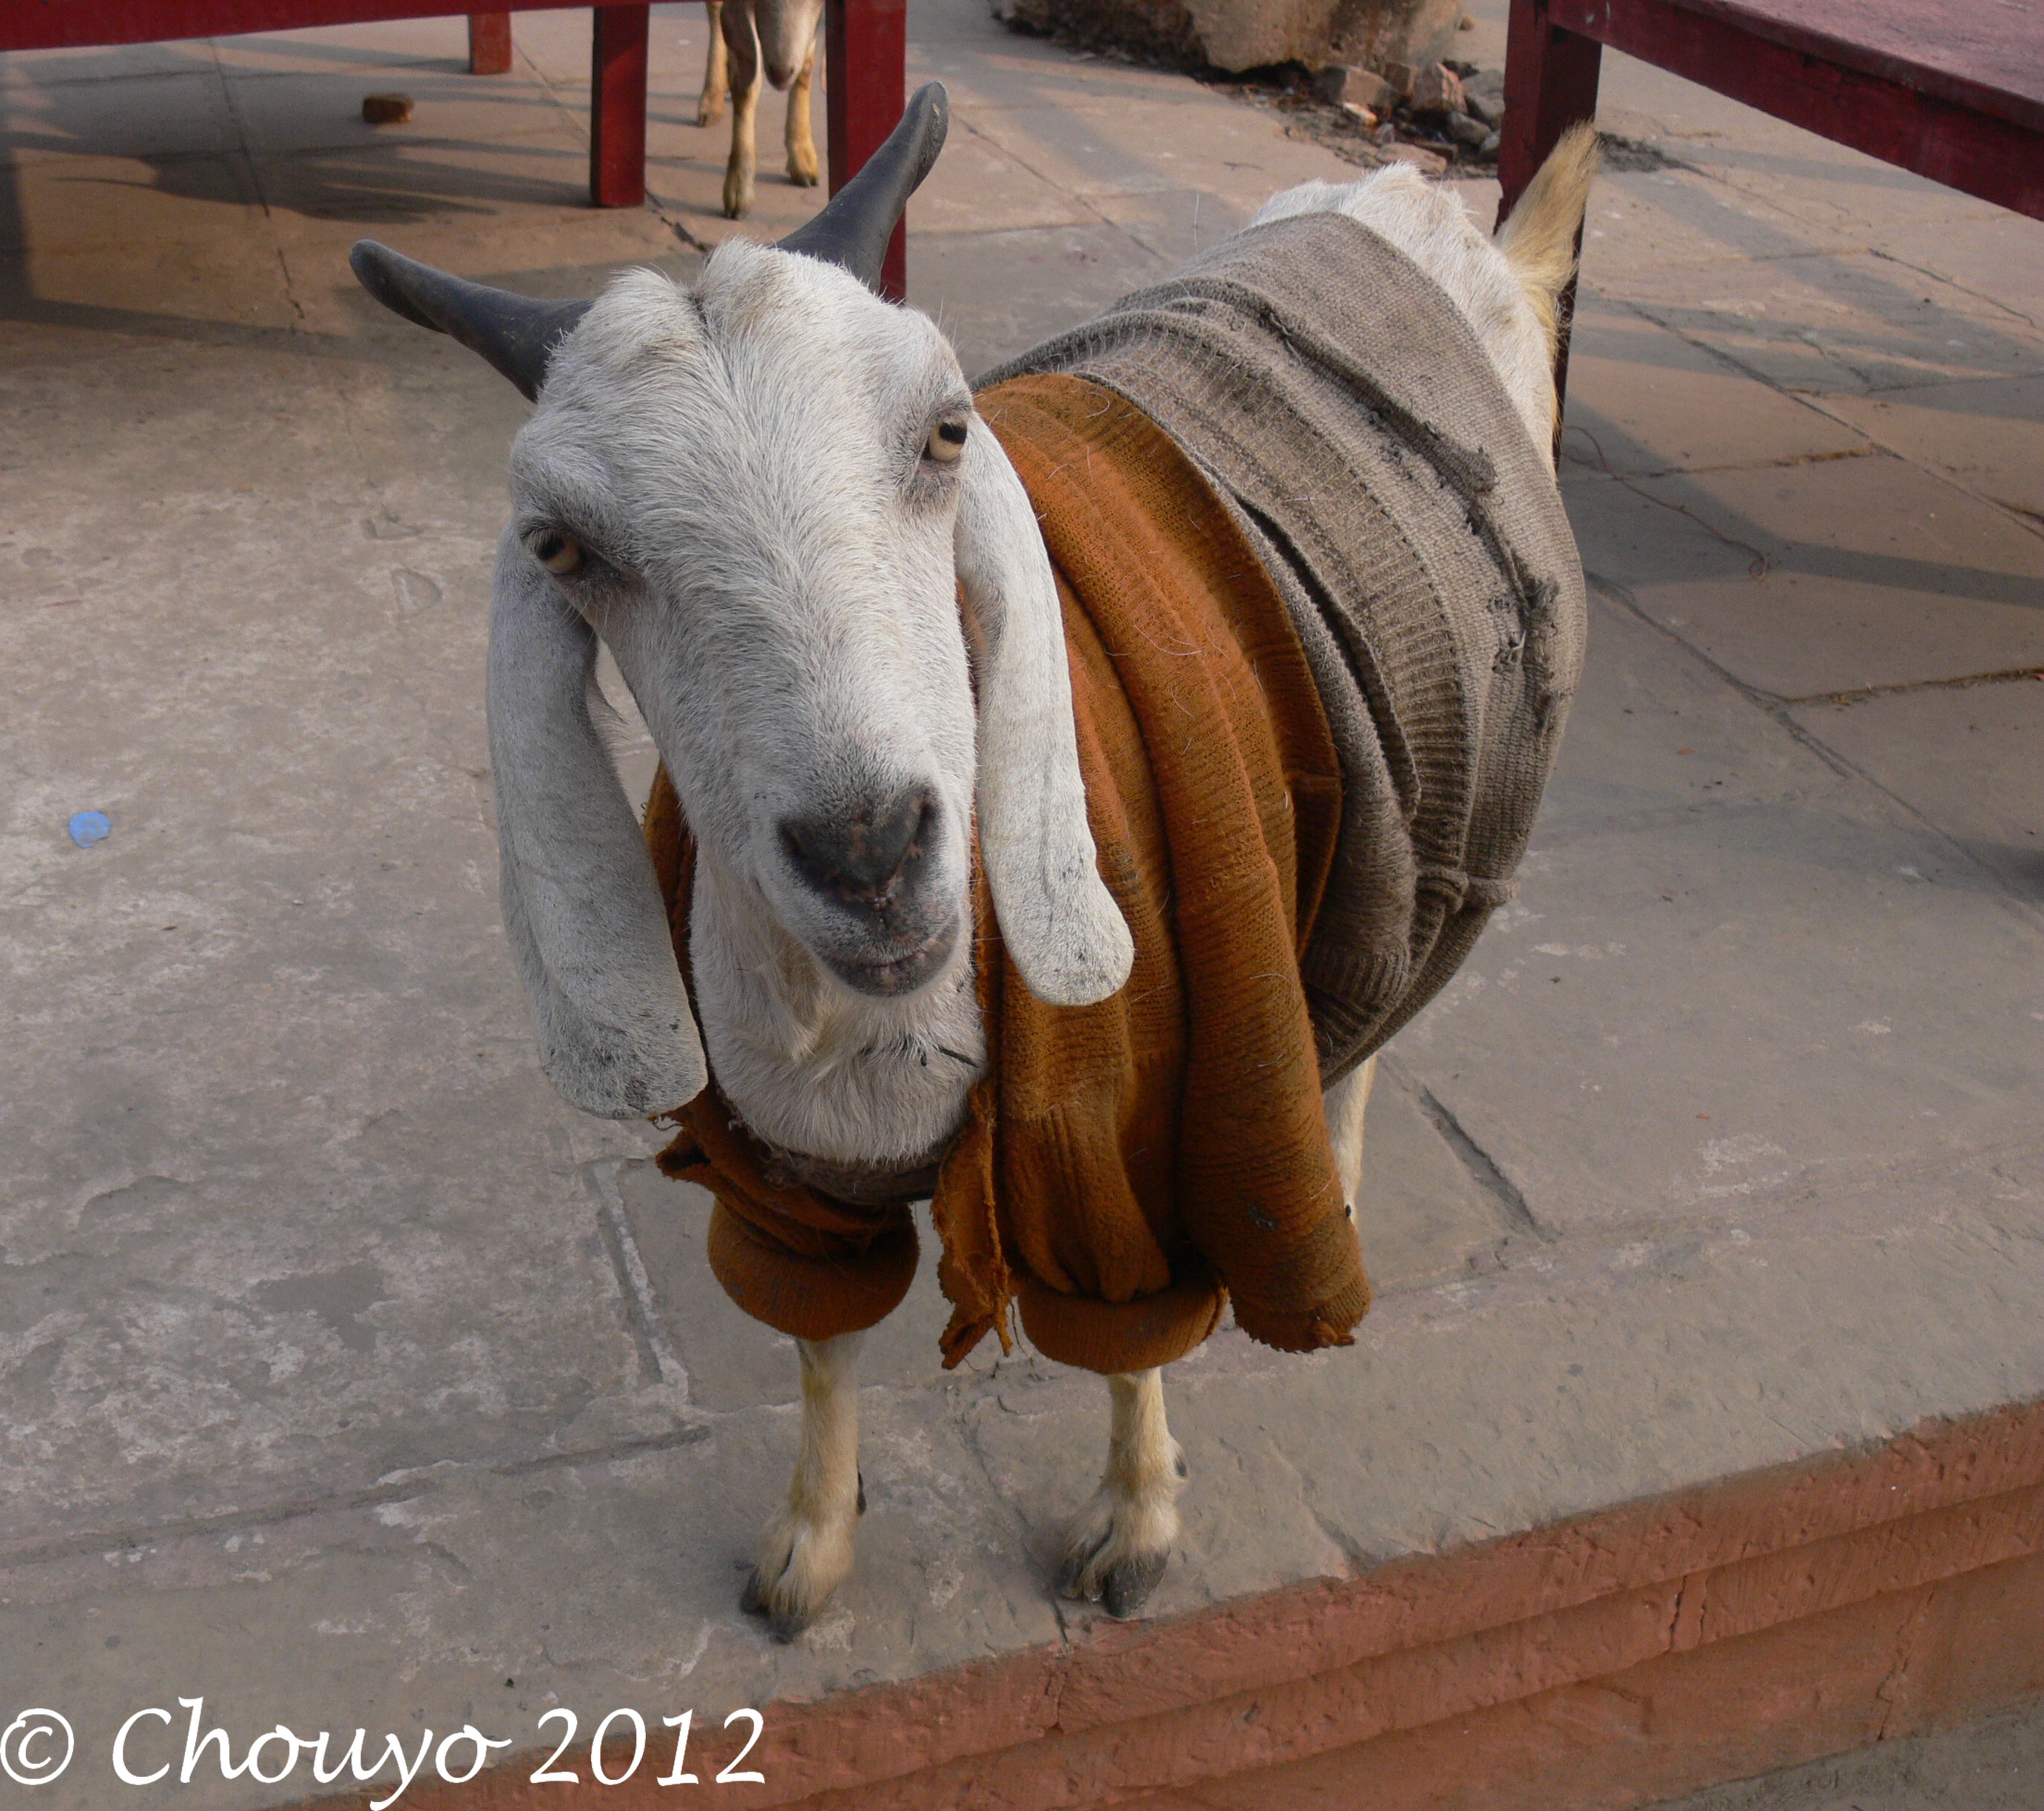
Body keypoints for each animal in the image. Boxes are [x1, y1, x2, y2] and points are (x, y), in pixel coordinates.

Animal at [350, 89, 1597, 1638]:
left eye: (948, 431)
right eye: (561, 545)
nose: (870, 848)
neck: (889, 1026)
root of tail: (1412, 204)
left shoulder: (1149, 1147)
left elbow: (1129, 1334)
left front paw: (1135, 1521)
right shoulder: (788, 1175)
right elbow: (818, 1348)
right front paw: (806, 1549)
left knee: (1380, 1006)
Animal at [695, 0, 823, 219]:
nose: (781, 73)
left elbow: (806, 65)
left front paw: (803, 160)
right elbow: (746, 83)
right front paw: (739, 192)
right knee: (715, 12)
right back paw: (710, 101)